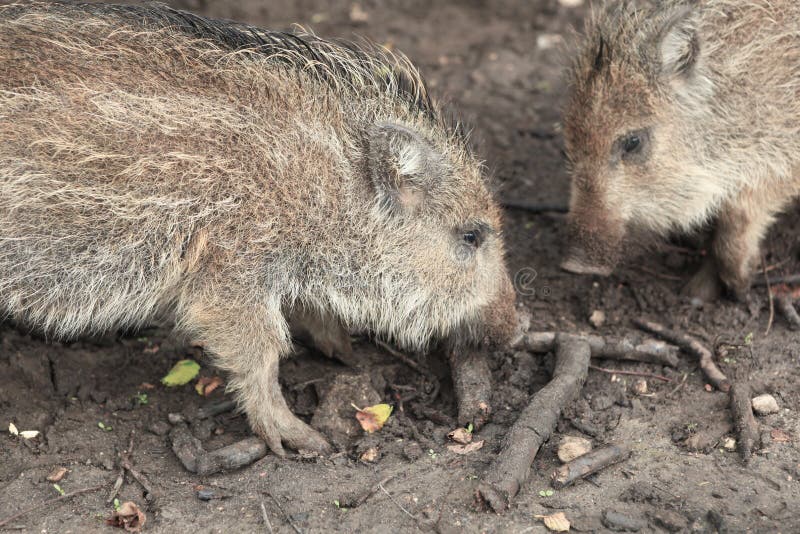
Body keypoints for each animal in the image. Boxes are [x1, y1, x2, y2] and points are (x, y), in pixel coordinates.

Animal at [0, 1, 517, 455]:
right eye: (471, 236)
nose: (519, 330)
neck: (322, 186)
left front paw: (343, 352)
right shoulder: (229, 274)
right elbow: (262, 352)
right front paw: (301, 440)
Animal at [560, 0, 800, 301]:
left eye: (633, 142)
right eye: (568, 147)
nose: (573, 265)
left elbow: (739, 216)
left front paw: (736, 290)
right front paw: (698, 294)